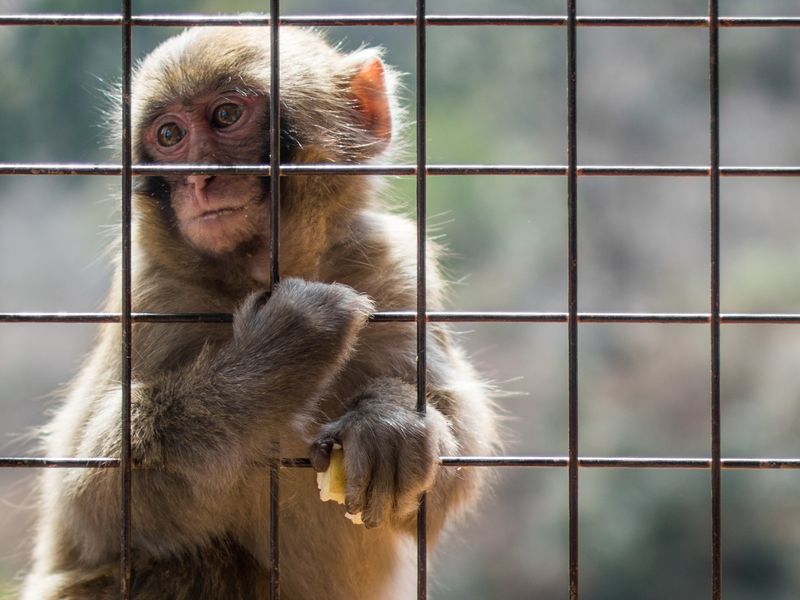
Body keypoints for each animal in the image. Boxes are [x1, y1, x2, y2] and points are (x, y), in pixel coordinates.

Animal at [21, 27, 499, 600]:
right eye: (169, 135)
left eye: (226, 116)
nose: (198, 179)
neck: (261, 273)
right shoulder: (155, 298)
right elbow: (92, 504)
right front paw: (286, 345)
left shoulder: (395, 269)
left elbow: (447, 482)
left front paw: (392, 420)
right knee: (203, 563)